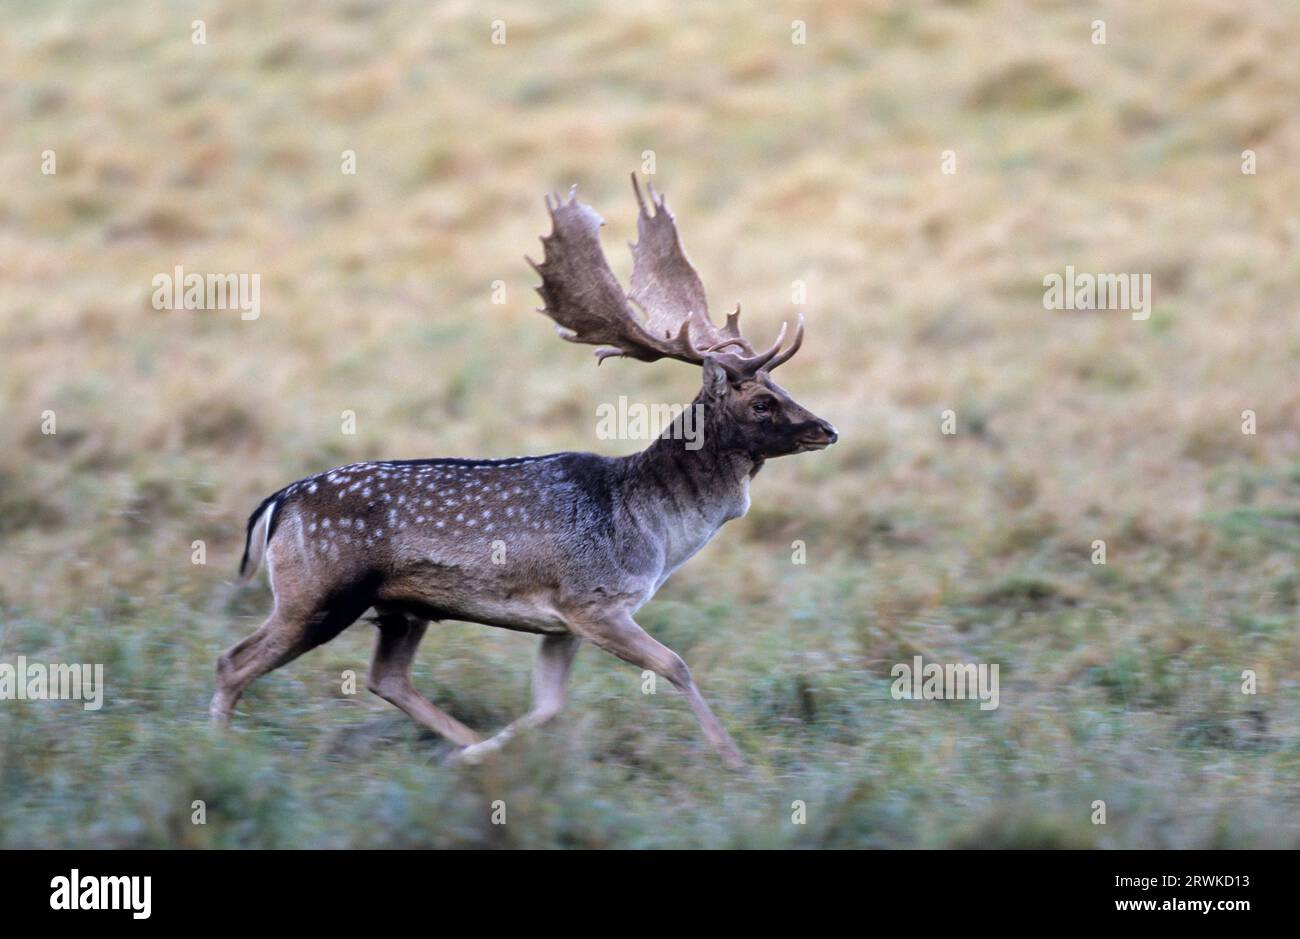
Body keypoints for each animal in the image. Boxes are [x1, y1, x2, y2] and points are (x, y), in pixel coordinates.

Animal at [210, 175, 838, 769]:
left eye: (781, 386)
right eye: (761, 401)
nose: (827, 429)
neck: (654, 532)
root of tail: (276, 504)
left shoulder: (562, 624)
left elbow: (549, 705)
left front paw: (483, 755)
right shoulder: (592, 600)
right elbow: (676, 665)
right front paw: (735, 762)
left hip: (400, 609)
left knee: (385, 677)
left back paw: (462, 747)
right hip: (317, 590)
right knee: (233, 661)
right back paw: (219, 755)